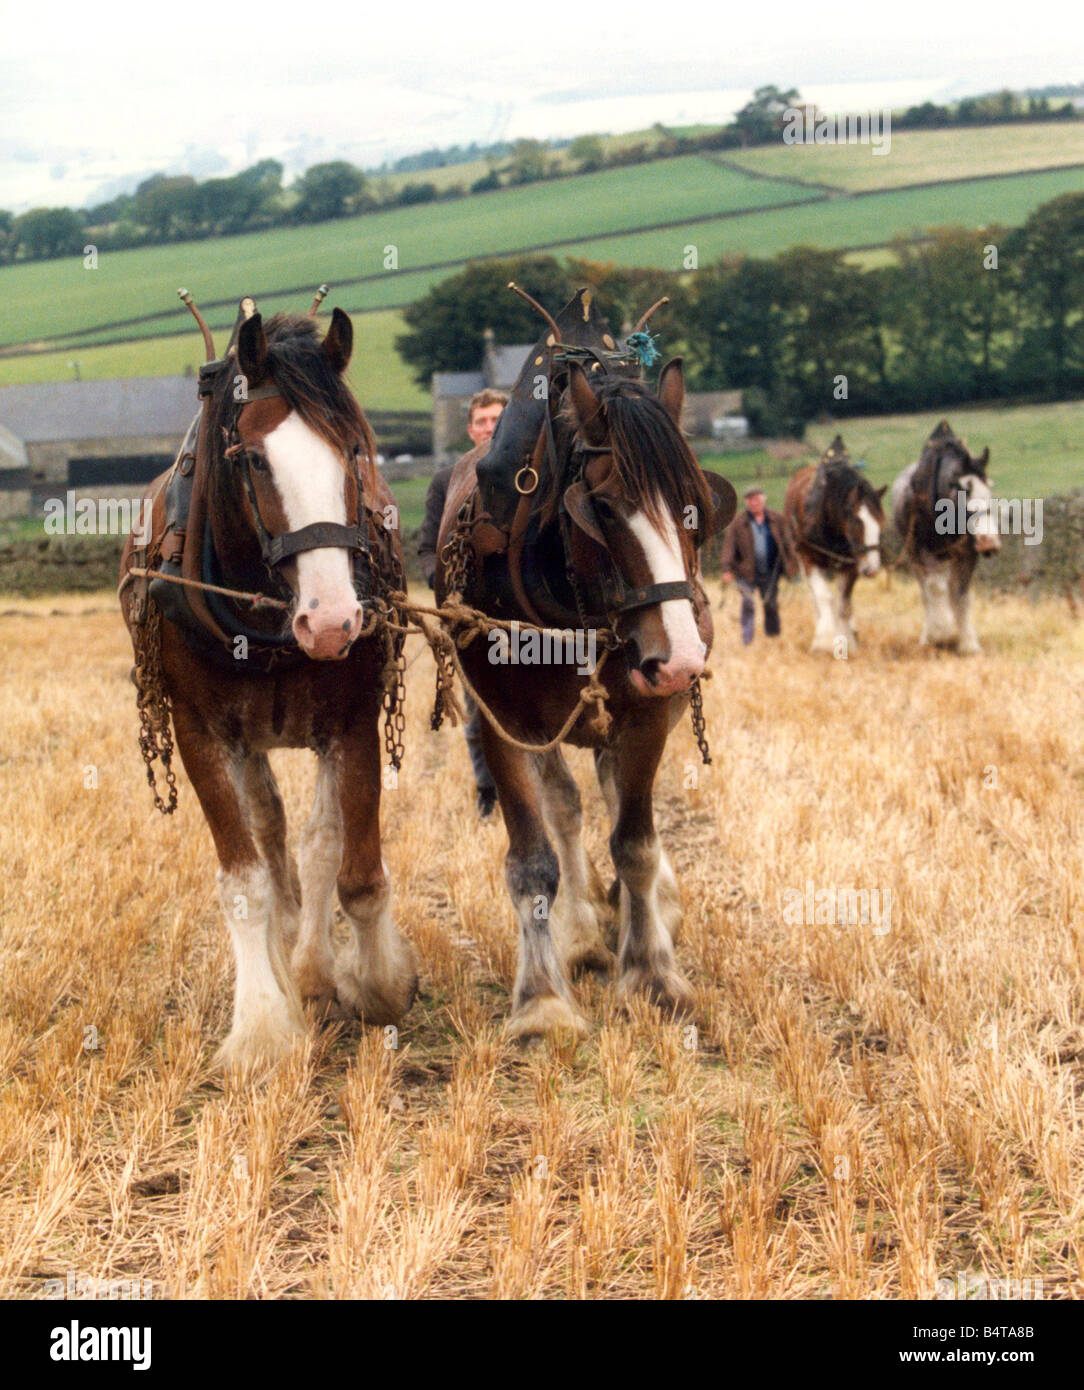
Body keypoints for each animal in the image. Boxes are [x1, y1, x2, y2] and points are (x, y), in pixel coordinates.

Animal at [119, 301, 417, 1070]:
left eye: (353, 449)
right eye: (253, 457)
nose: (333, 619)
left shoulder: (350, 722)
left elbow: (354, 869)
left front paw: (376, 981)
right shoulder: (200, 733)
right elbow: (248, 879)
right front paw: (259, 1028)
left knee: (315, 846)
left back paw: (312, 970)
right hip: (249, 743)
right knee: (271, 834)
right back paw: (286, 967)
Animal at [435, 288, 736, 1041]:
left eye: (697, 505)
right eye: (599, 506)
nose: (680, 657)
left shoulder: (647, 711)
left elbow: (634, 840)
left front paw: (653, 973)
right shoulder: (506, 722)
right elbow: (533, 858)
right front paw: (543, 1000)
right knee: (566, 809)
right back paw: (578, 927)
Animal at [784, 436, 886, 655]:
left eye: (881, 522)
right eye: (857, 522)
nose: (872, 569)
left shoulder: (852, 563)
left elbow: (844, 604)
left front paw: (847, 640)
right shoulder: (808, 558)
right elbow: (824, 597)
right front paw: (823, 640)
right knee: (815, 597)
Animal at [890, 420, 1000, 653]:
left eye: (990, 487)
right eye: (964, 489)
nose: (988, 540)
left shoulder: (967, 554)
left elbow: (962, 595)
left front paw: (968, 642)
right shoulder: (926, 551)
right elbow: (935, 588)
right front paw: (943, 632)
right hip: (915, 555)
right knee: (927, 591)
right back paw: (930, 634)